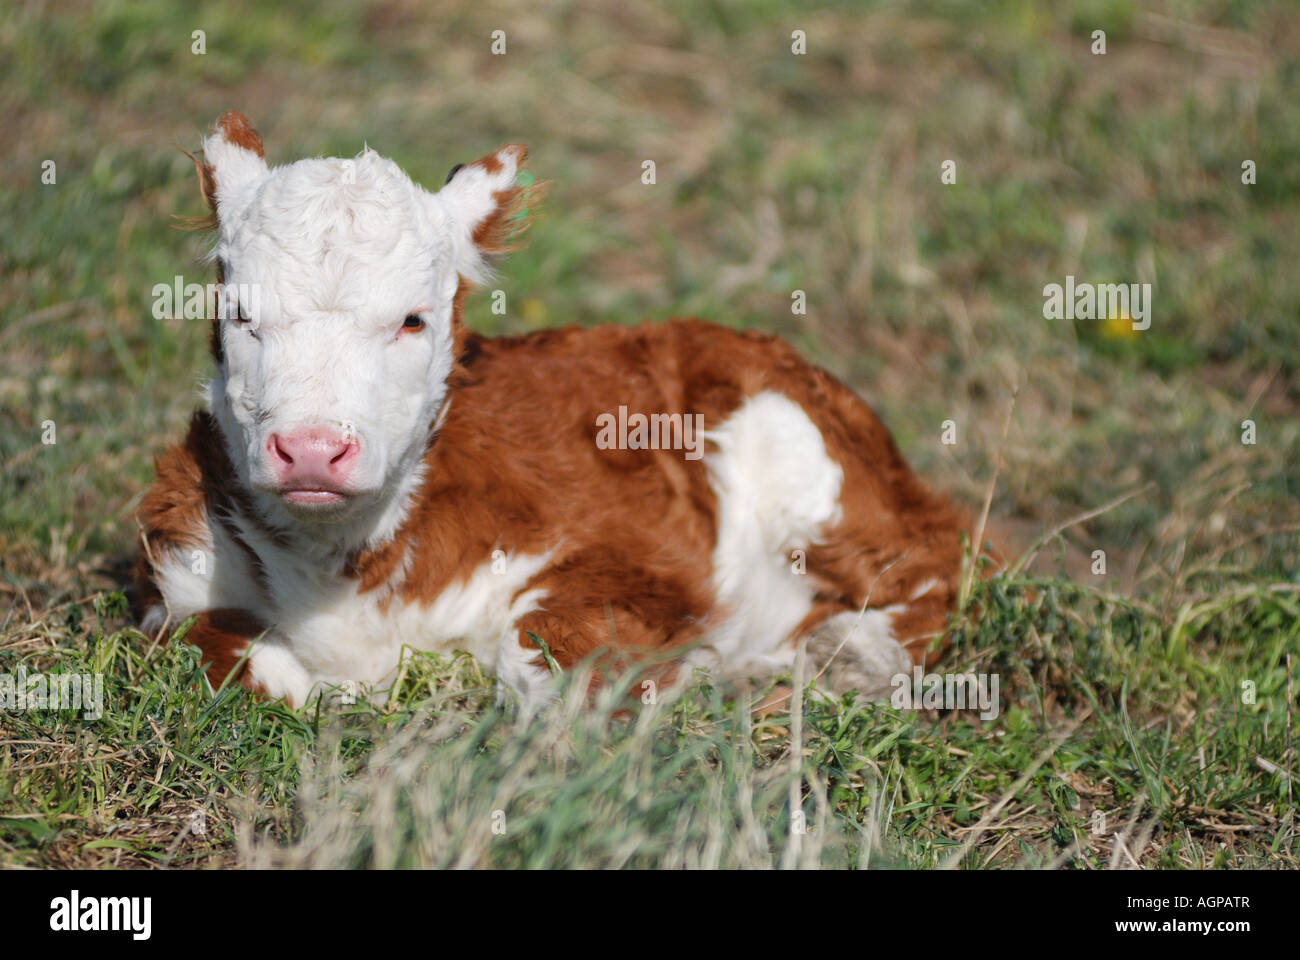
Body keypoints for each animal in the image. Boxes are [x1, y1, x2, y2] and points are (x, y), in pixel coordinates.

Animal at [133, 111, 988, 709]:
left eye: (412, 319)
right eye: (240, 312)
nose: (311, 449)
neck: (342, 574)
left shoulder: (645, 554)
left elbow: (545, 652)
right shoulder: (171, 574)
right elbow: (216, 650)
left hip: (808, 456)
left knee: (930, 561)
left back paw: (846, 657)